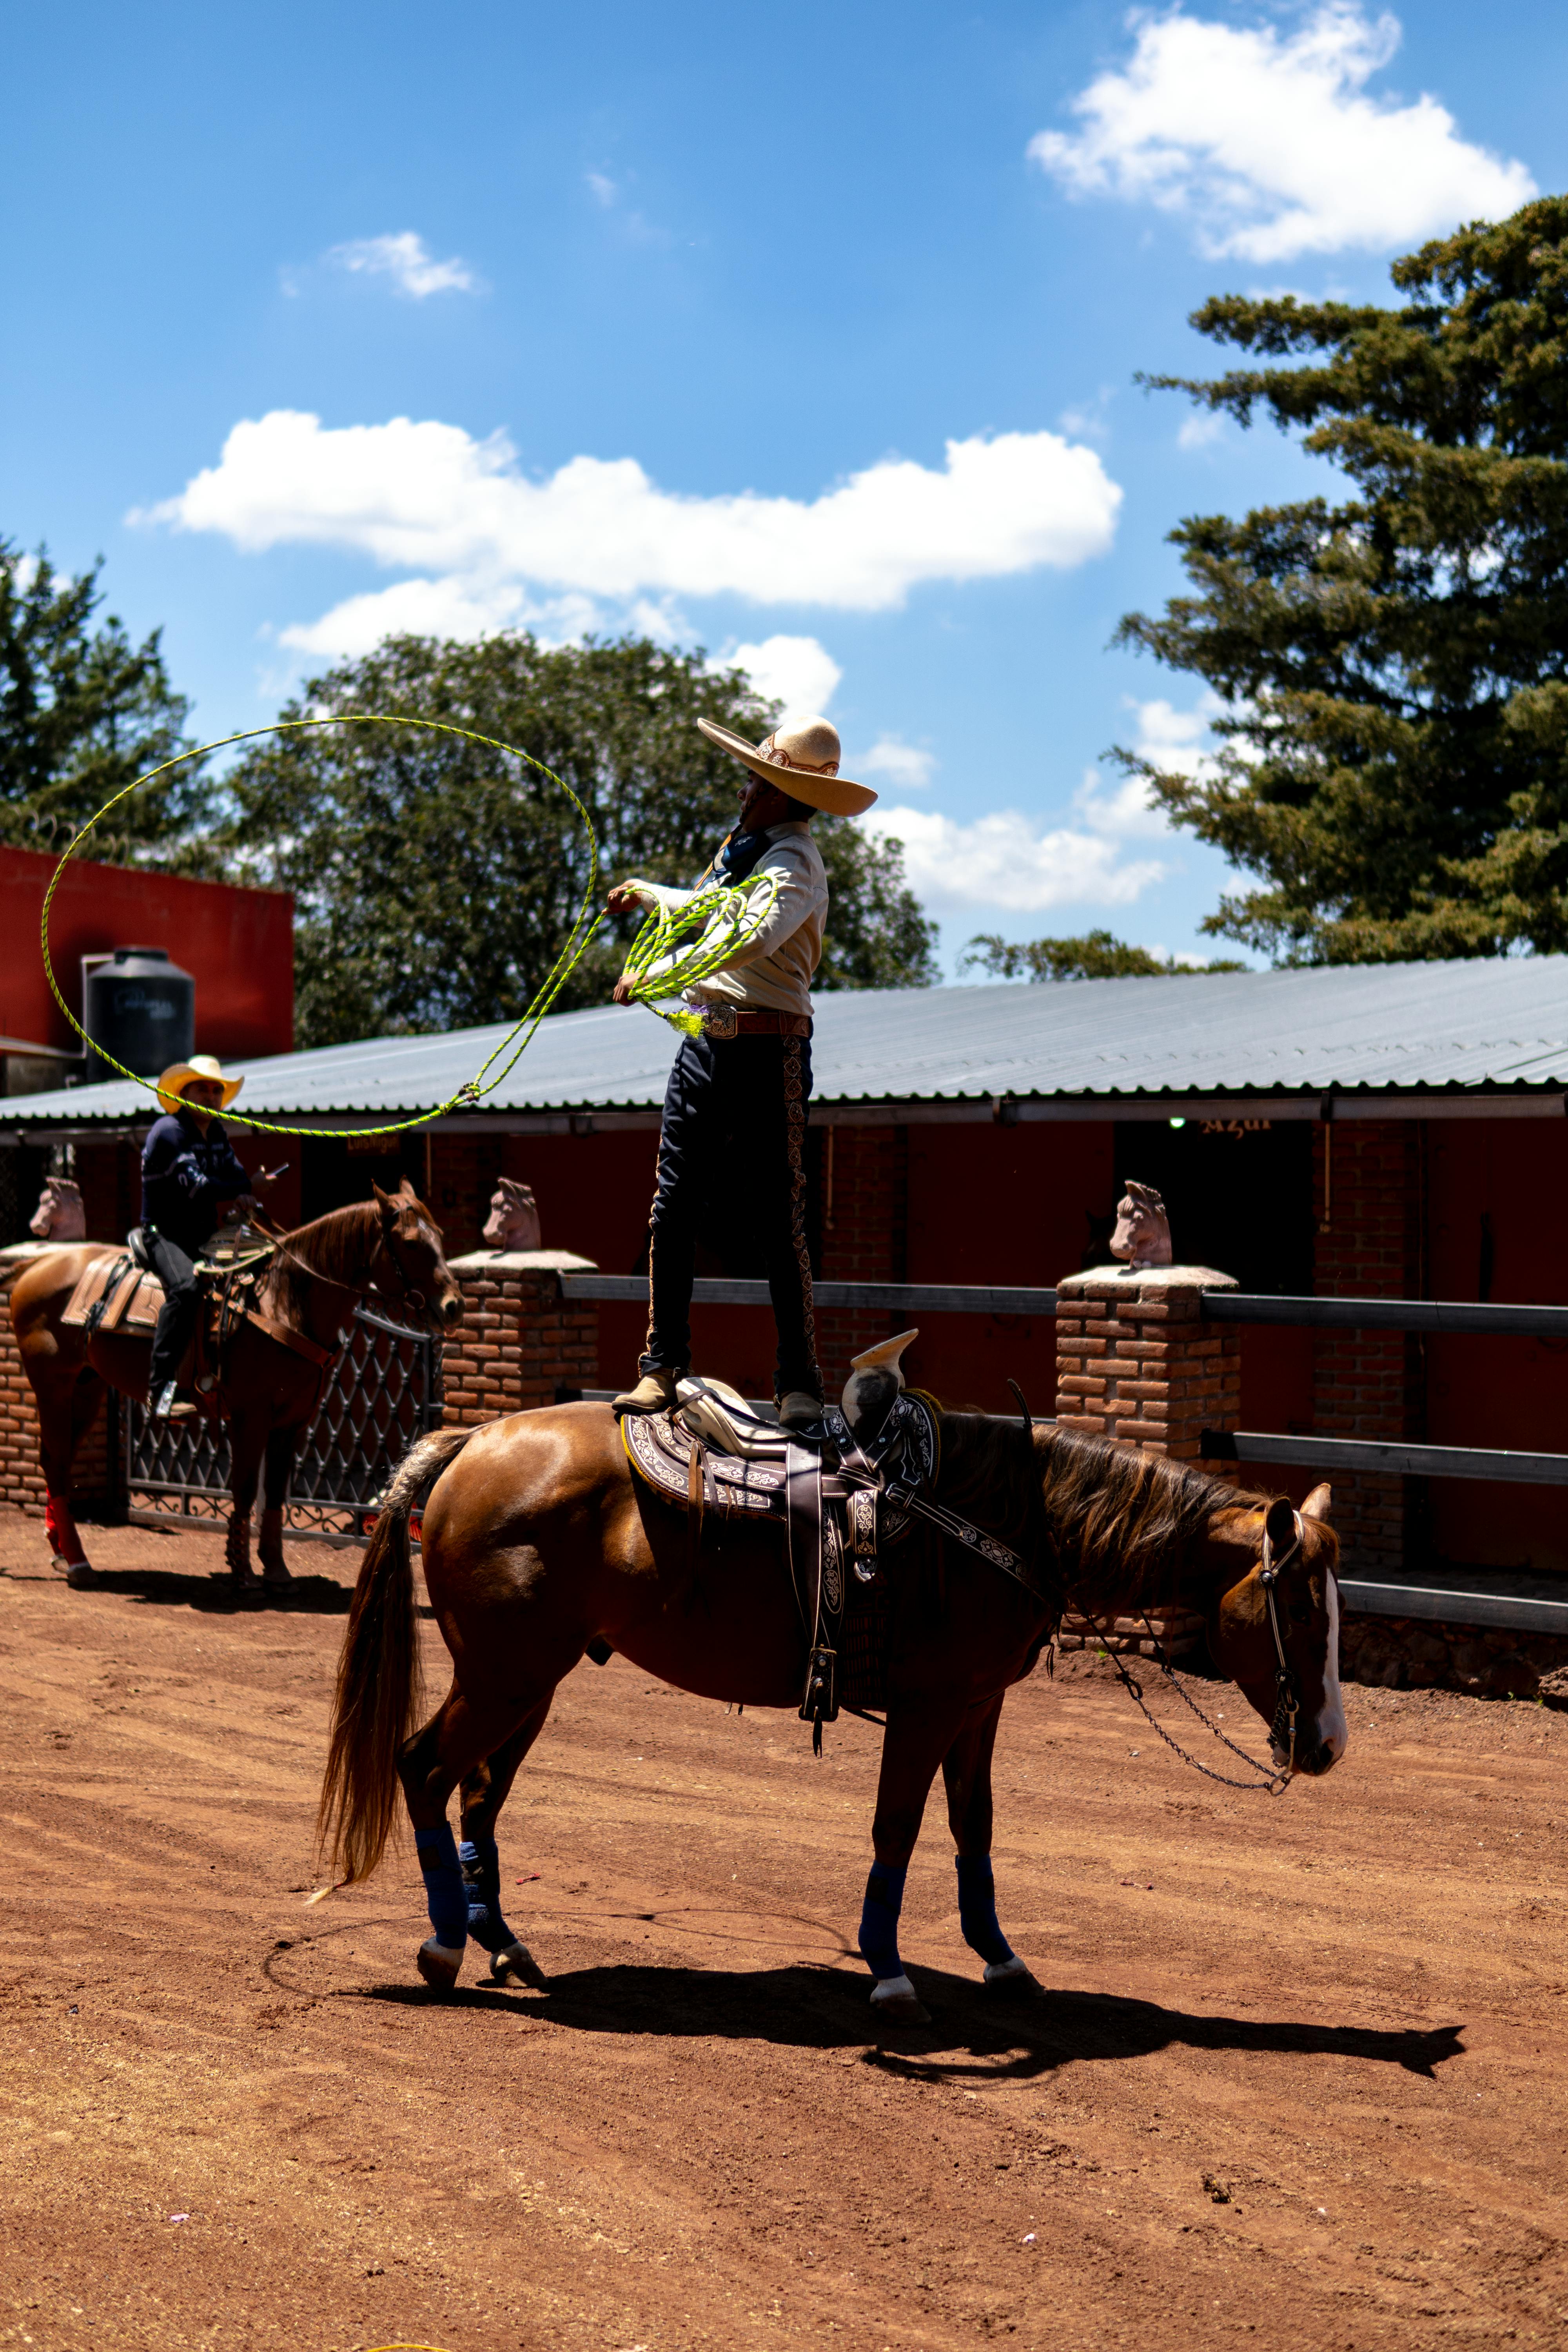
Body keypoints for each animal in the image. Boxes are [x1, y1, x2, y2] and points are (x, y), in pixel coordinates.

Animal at [9, 1179, 463, 1591]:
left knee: (60, 1463)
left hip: (87, 1389)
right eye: (410, 1243)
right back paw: (77, 1562)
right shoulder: (252, 1416)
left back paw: (61, 1549)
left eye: (441, 1237)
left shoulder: (291, 1423)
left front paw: (277, 1569)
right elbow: (245, 1489)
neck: (280, 1303)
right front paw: (242, 1570)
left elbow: (276, 1494)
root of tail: (34, 1268)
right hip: (53, 1386)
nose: (454, 1306)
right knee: (54, 1461)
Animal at [317, 1395, 1344, 2021]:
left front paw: (1002, 1960)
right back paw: (444, 1947)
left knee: (479, 1795)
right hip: (503, 1676)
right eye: (1298, 1607)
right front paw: (888, 1975)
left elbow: (973, 1828)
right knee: (424, 1769)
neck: (1004, 1520)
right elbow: (898, 1829)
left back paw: (504, 1945)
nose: (1329, 1745)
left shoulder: (978, 1708)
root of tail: (471, 1445)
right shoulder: (929, 1709)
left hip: (530, 1681)